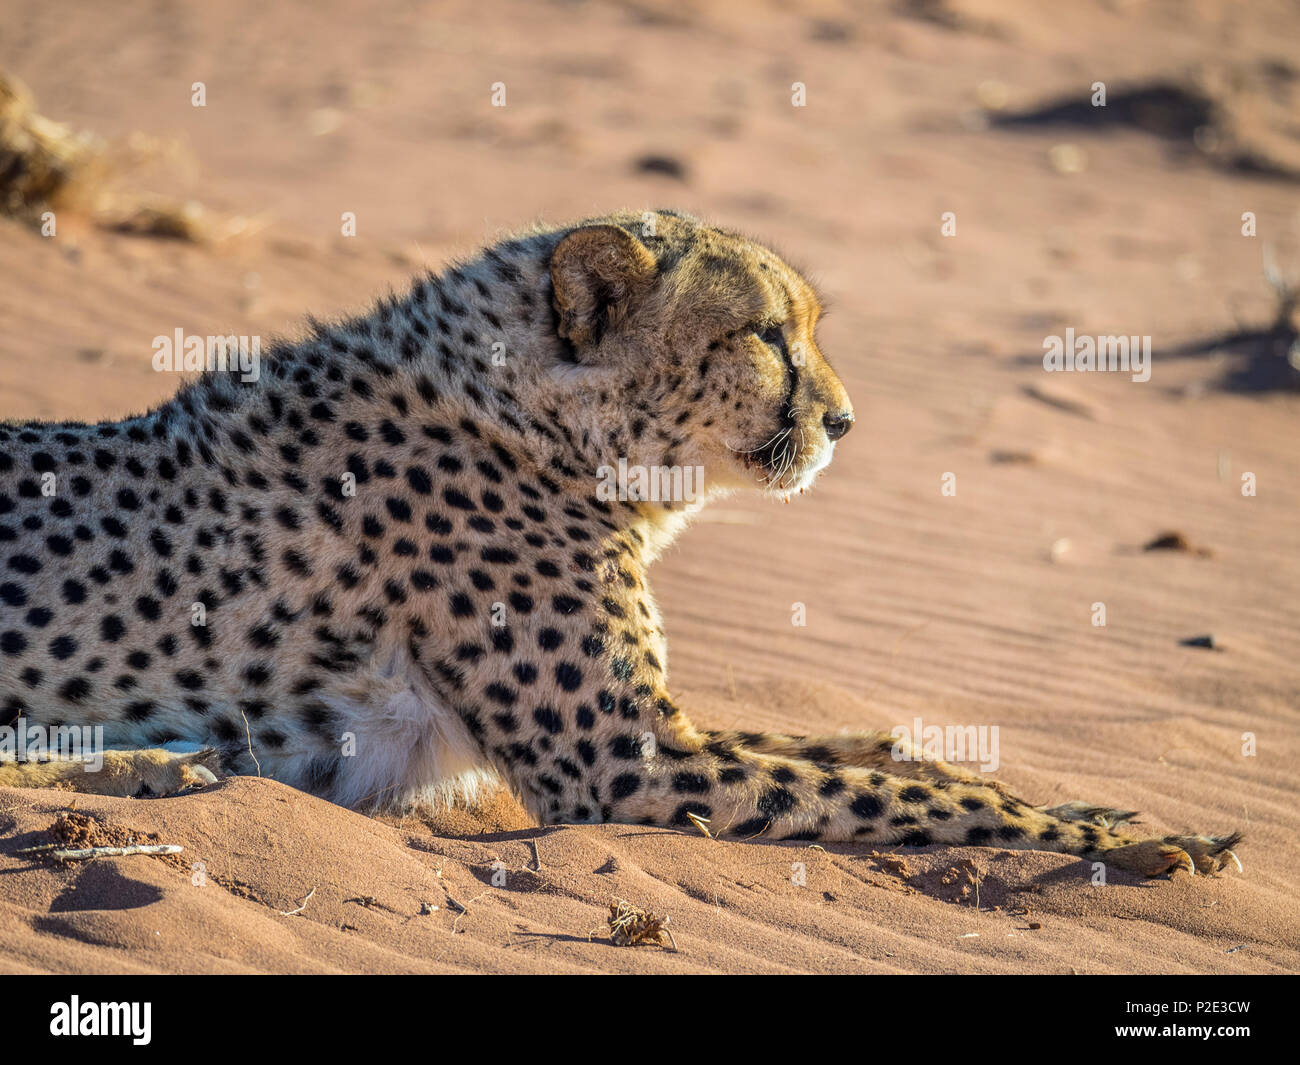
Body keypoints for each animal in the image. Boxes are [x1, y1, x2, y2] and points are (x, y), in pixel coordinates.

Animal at [0, 209, 1241, 878]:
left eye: (809, 330)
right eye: (765, 336)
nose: (846, 423)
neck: (534, 417)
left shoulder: (663, 728)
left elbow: (860, 753)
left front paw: (1084, 809)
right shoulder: (623, 760)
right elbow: (889, 797)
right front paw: (1106, 842)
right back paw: (158, 767)